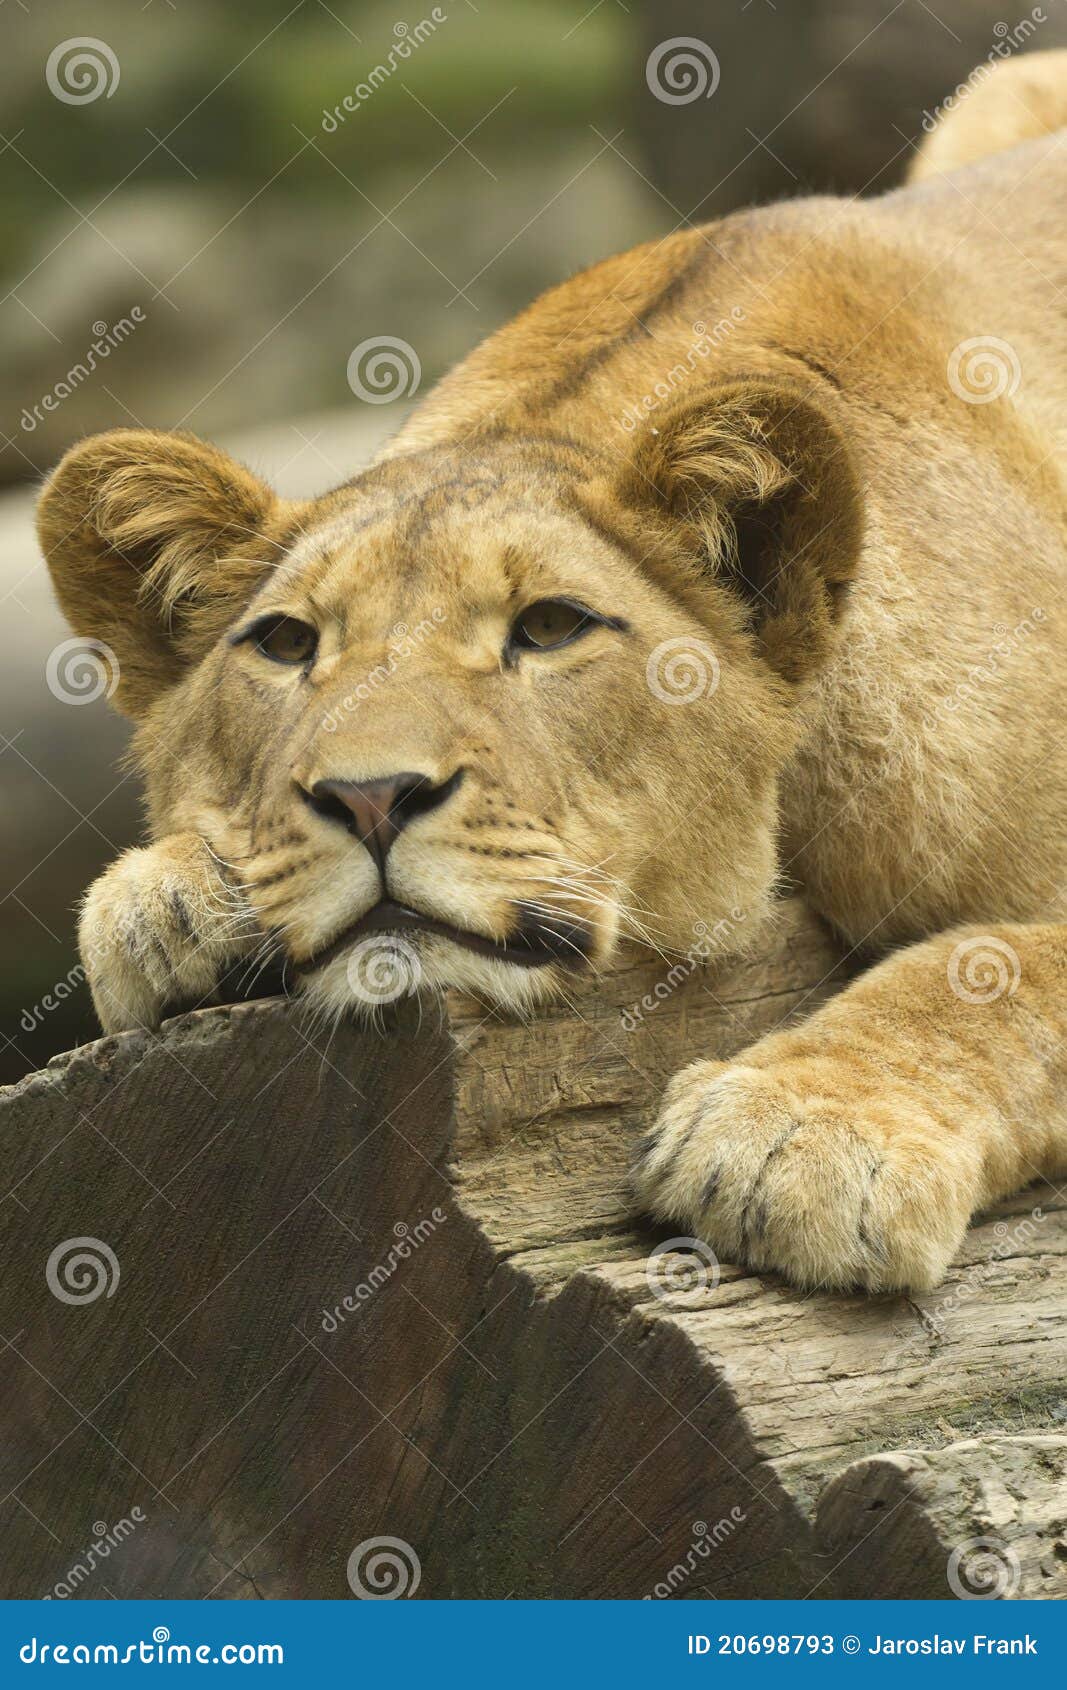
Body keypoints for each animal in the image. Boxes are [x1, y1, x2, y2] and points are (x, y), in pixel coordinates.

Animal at [38, 52, 1067, 1295]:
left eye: (549, 626)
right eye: (286, 645)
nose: (369, 798)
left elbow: (986, 970)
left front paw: (800, 1135)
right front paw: (172, 897)